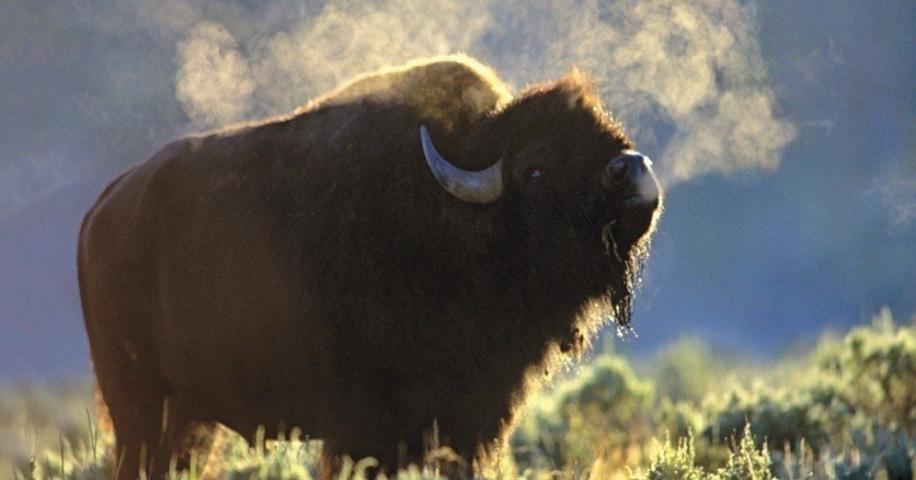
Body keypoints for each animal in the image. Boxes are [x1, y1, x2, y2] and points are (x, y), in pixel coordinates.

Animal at [78, 55, 661, 479]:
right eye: (535, 170)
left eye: (605, 129)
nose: (633, 171)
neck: (454, 221)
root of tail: (102, 211)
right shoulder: (368, 432)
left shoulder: (468, 424)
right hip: (139, 406)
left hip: (189, 418)